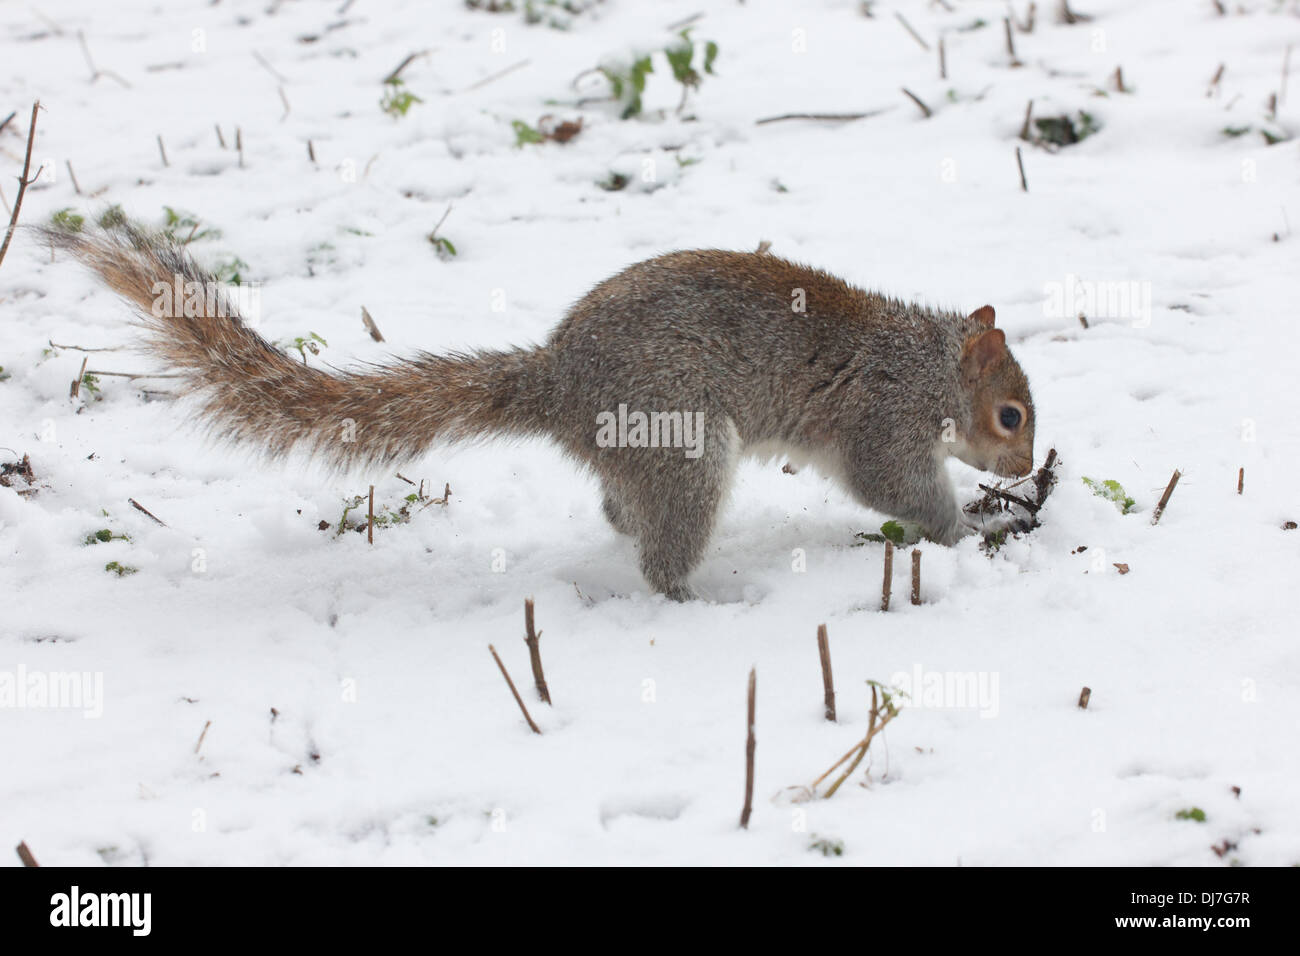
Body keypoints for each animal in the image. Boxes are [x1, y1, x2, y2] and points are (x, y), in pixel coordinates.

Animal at [42, 226, 1035, 600]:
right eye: (1012, 416)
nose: (1028, 470)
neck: (929, 368)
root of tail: (558, 386)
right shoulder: (884, 418)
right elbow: (897, 487)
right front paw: (974, 531)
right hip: (683, 443)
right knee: (662, 550)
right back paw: (697, 596)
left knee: (619, 508)